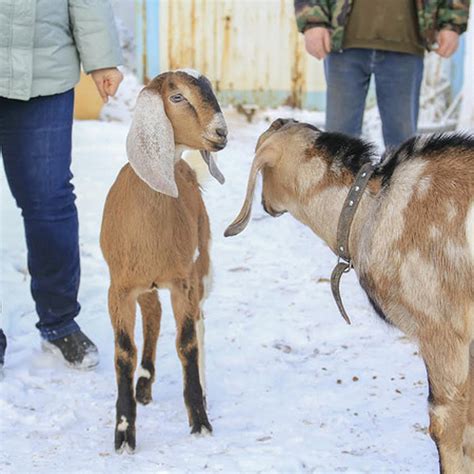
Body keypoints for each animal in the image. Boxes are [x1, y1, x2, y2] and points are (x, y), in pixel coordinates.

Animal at [100, 69, 228, 452]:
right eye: (177, 97)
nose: (221, 133)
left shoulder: (181, 281)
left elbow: (187, 343)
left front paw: (200, 420)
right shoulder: (120, 287)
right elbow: (124, 352)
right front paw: (124, 433)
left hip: (199, 267)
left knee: (198, 322)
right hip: (144, 282)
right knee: (153, 316)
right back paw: (143, 384)